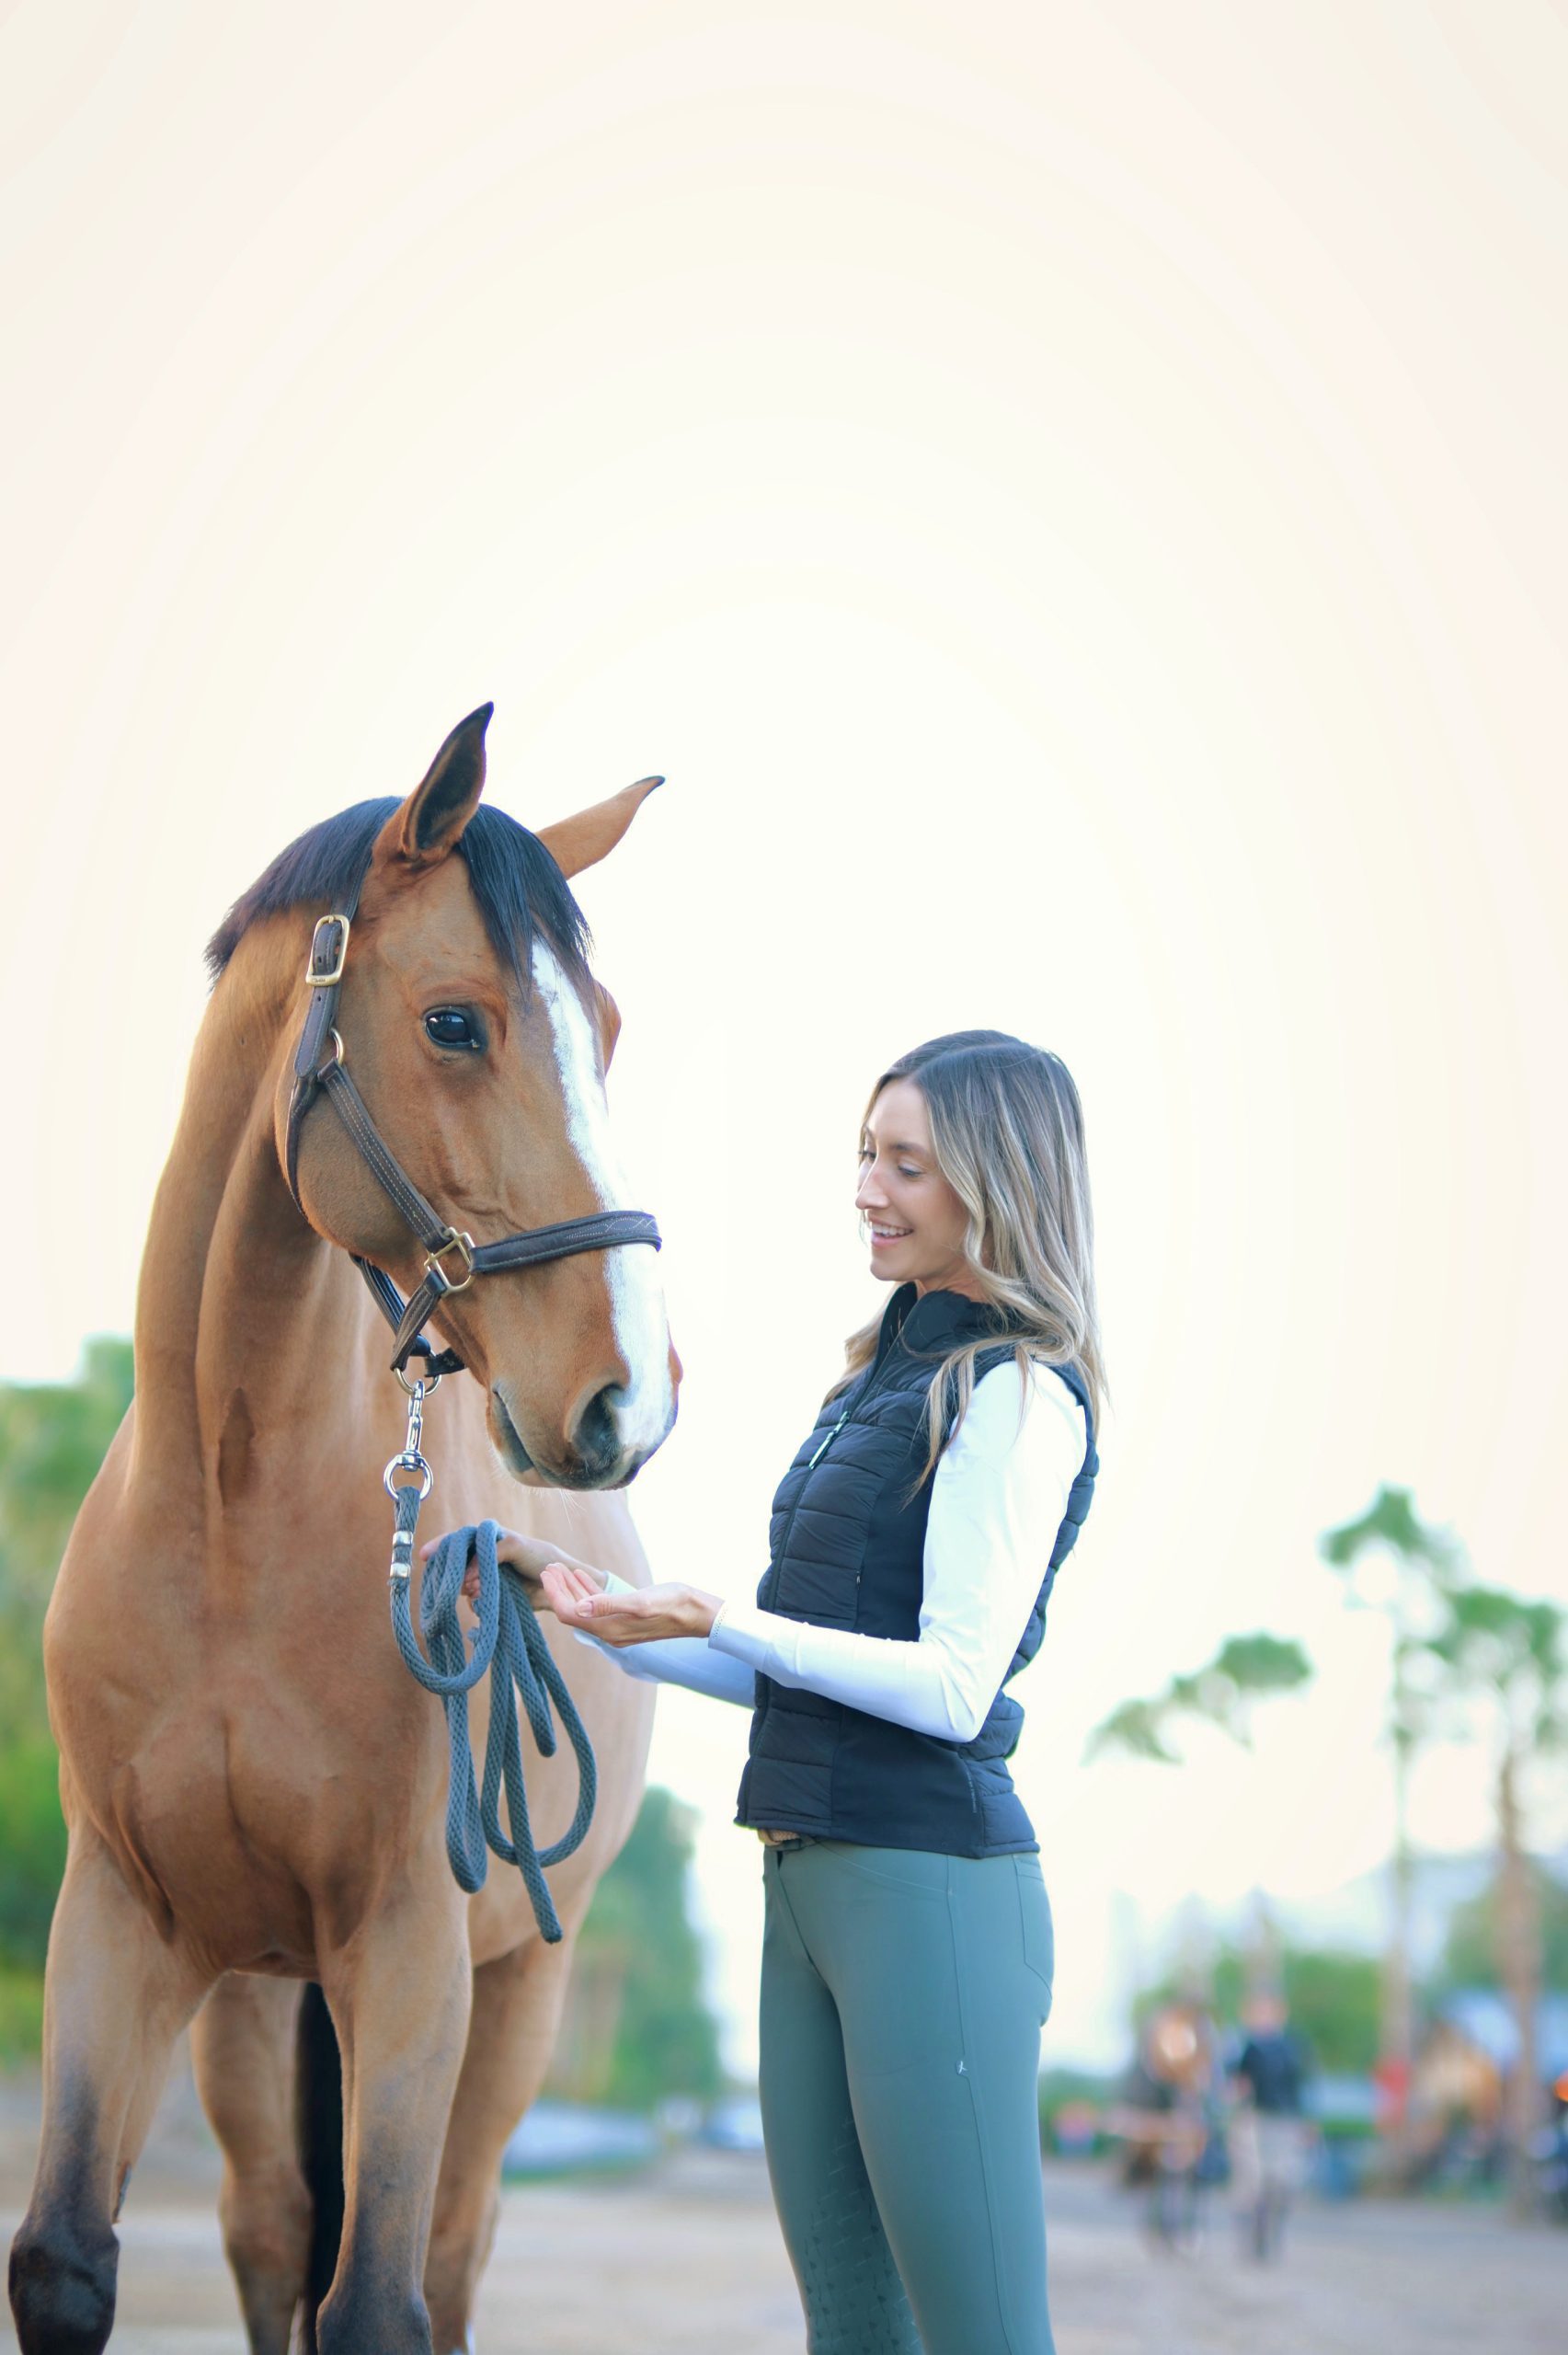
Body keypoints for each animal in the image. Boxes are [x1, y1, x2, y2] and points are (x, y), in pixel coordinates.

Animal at [9, 705, 682, 2355]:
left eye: (606, 1029)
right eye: (454, 1024)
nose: (628, 1396)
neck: (230, 1519)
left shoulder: (411, 1947)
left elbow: (377, 2300)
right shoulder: (121, 1918)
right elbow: (67, 2261)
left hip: (516, 2001)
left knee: (442, 2255)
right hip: (259, 1997)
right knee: (270, 2234)